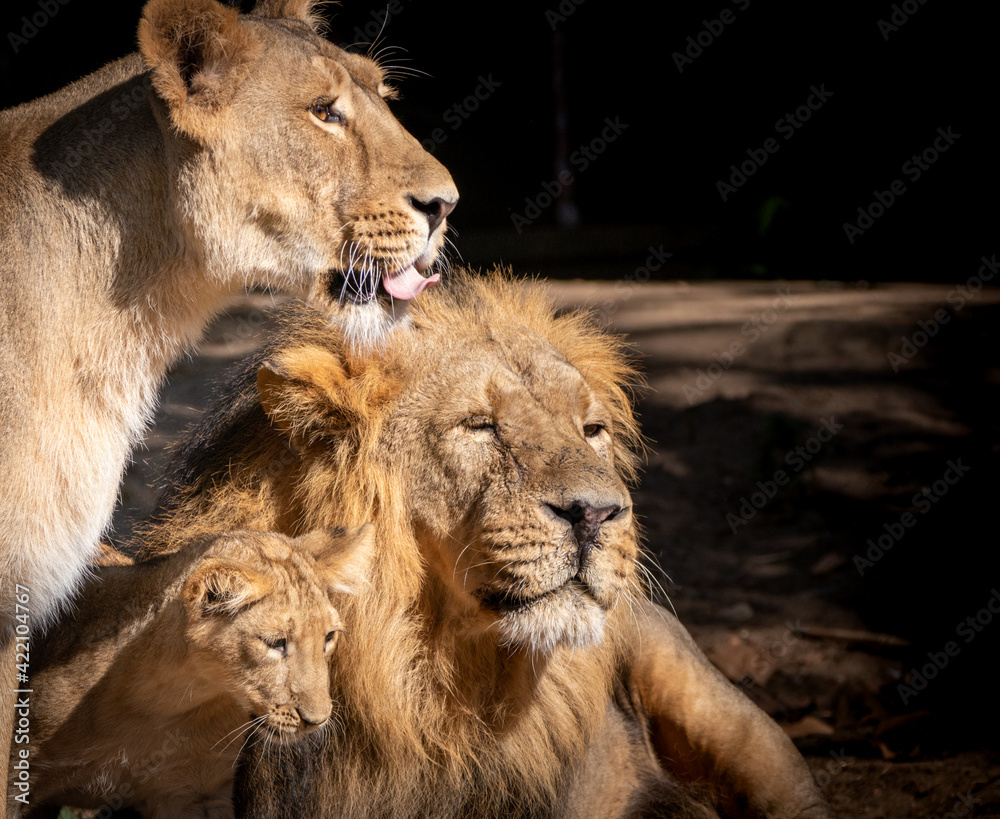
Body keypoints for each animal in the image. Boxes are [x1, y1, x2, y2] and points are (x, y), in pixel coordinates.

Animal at [8, 526, 372, 817]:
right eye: (275, 643)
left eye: (328, 637)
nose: (317, 721)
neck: (168, 704)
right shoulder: (19, 777)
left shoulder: (197, 793)